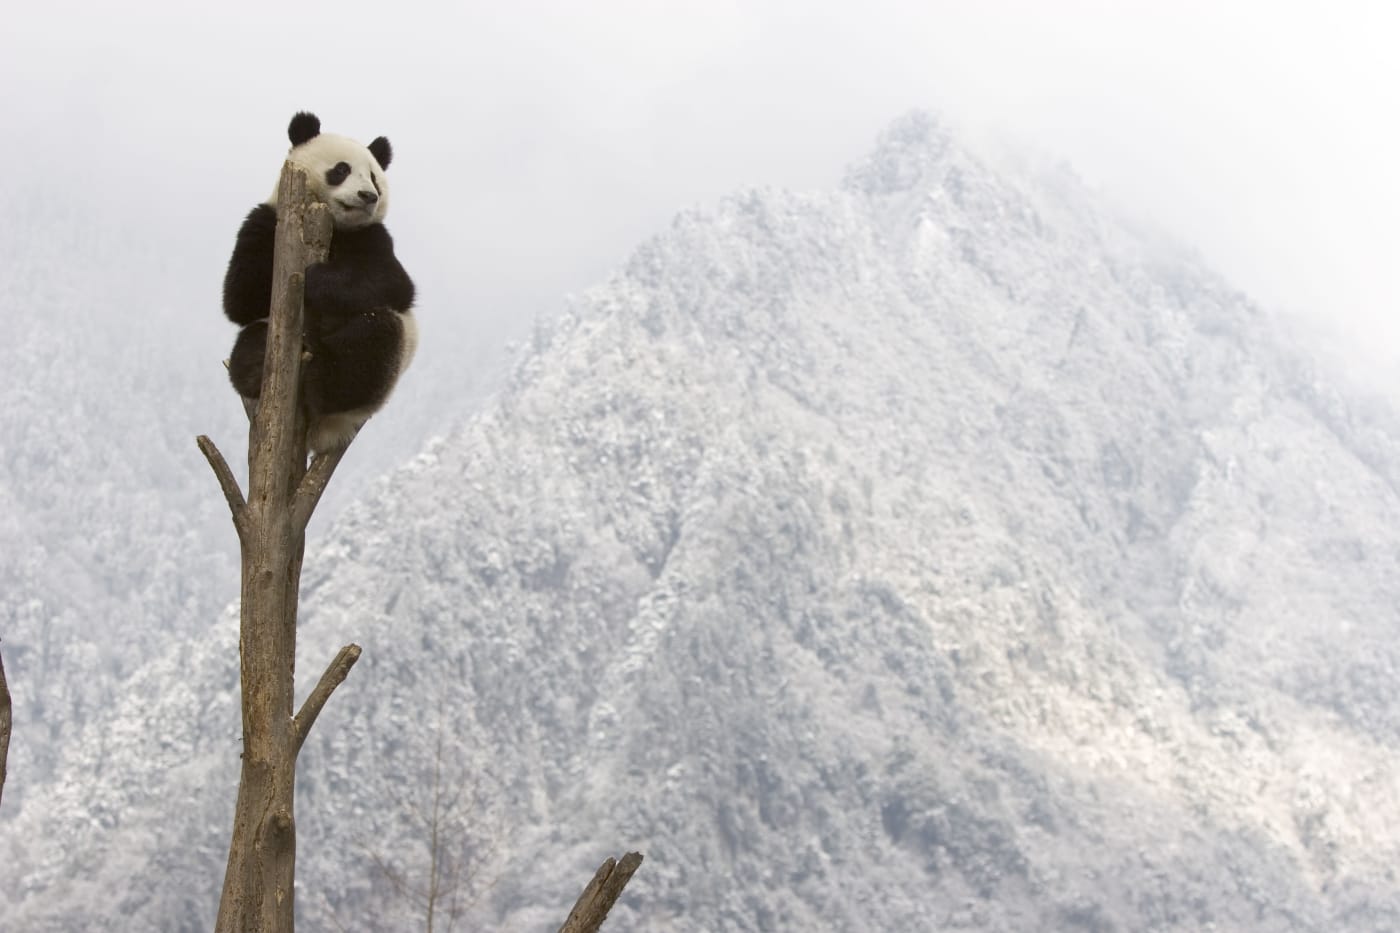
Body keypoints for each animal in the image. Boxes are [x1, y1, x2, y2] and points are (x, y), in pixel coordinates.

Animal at [223, 111, 418, 454]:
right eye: (341, 169)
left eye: (374, 177)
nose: (369, 196)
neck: (336, 226)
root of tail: (323, 433)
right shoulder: (264, 219)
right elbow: (240, 298)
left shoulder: (374, 237)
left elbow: (393, 284)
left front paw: (315, 279)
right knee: (250, 340)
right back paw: (256, 364)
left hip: (386, 367)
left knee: (371, 342)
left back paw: (322, 380)